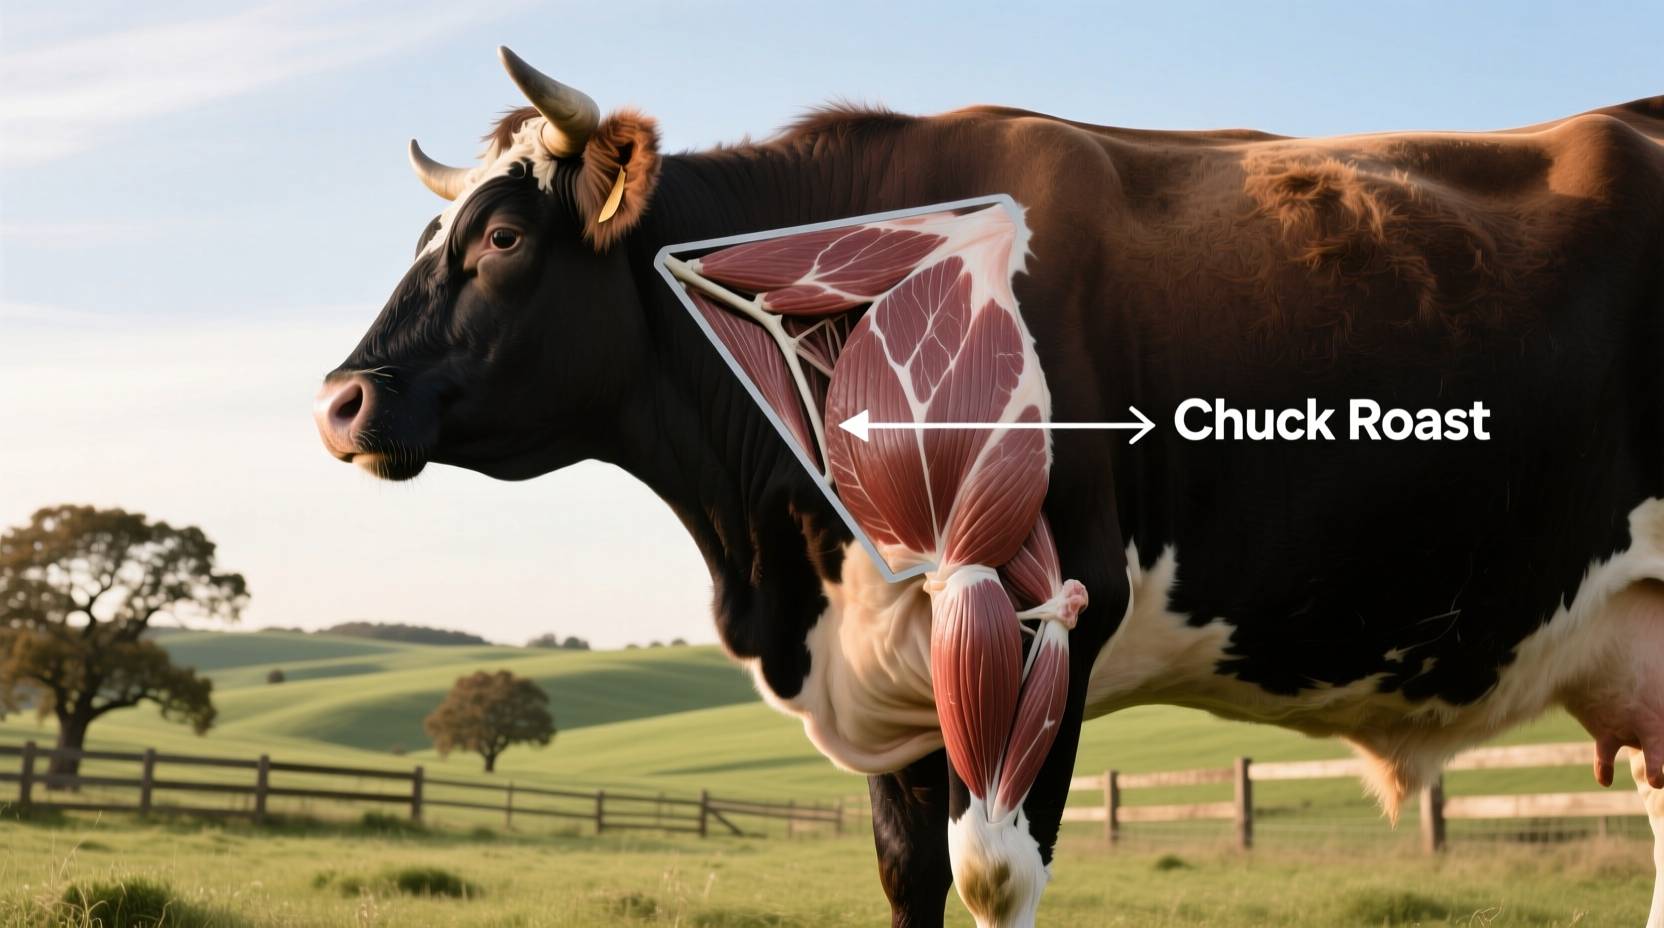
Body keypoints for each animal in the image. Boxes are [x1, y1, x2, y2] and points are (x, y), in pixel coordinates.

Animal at [313, 47, 1664, 928]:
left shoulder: (1045, 616)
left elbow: (990, 876)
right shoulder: (888, 667)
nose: (341, 402)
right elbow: (908, 876)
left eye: (500, 239)